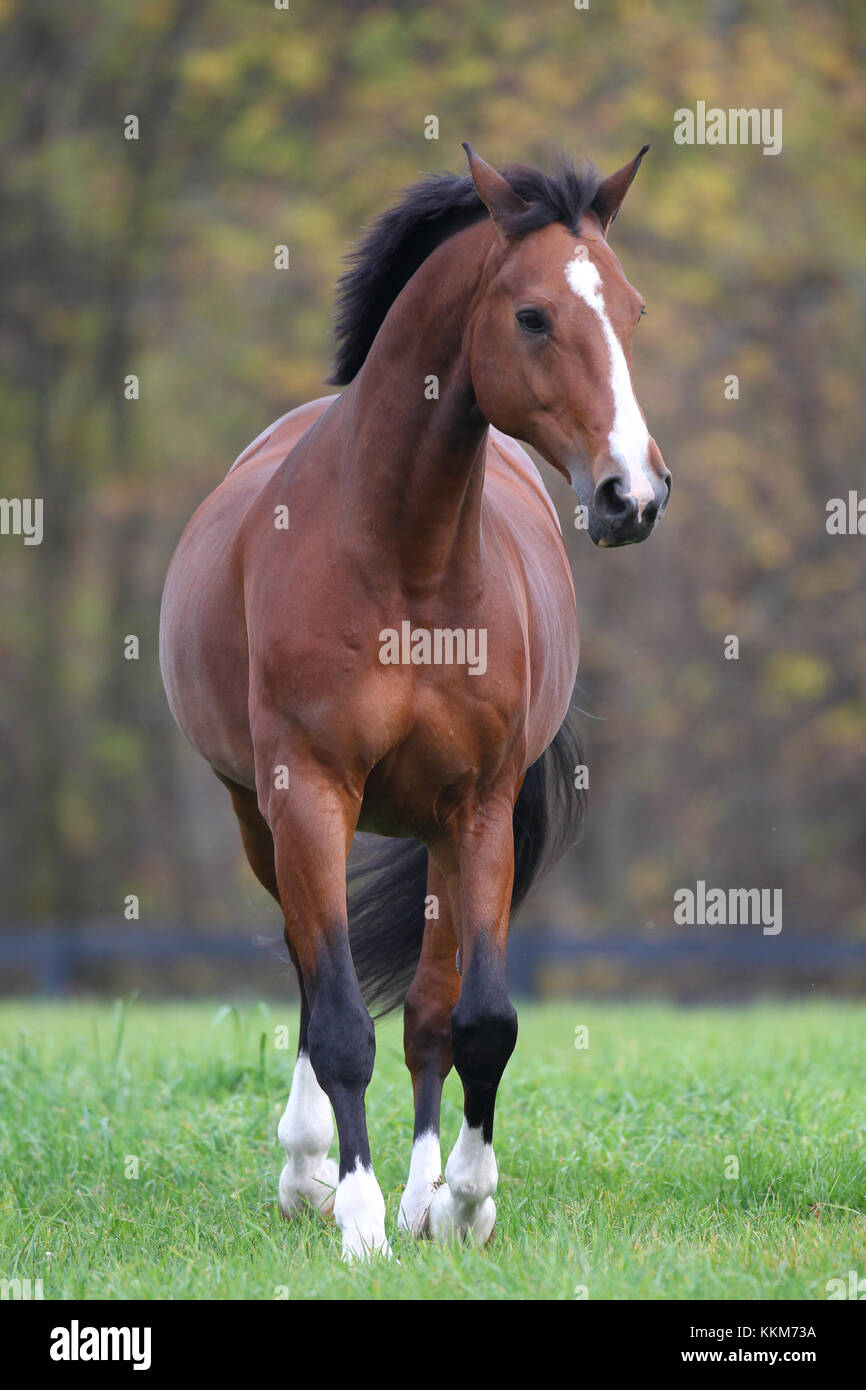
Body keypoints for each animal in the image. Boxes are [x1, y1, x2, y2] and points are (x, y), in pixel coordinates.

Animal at [159, 143, 670, 1260]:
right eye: (533, 316)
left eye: (631, 309)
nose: (634, 495)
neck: (405, 560)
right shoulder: (307, 795)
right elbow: (340, 1019)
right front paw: (353, 1219)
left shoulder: (477, 809)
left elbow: (475, 1020)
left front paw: (461, 1199)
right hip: (259, 817)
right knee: (309, 974)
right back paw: (309, 1169)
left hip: (440, 835)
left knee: (431, 1008)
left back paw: (422, 1189)